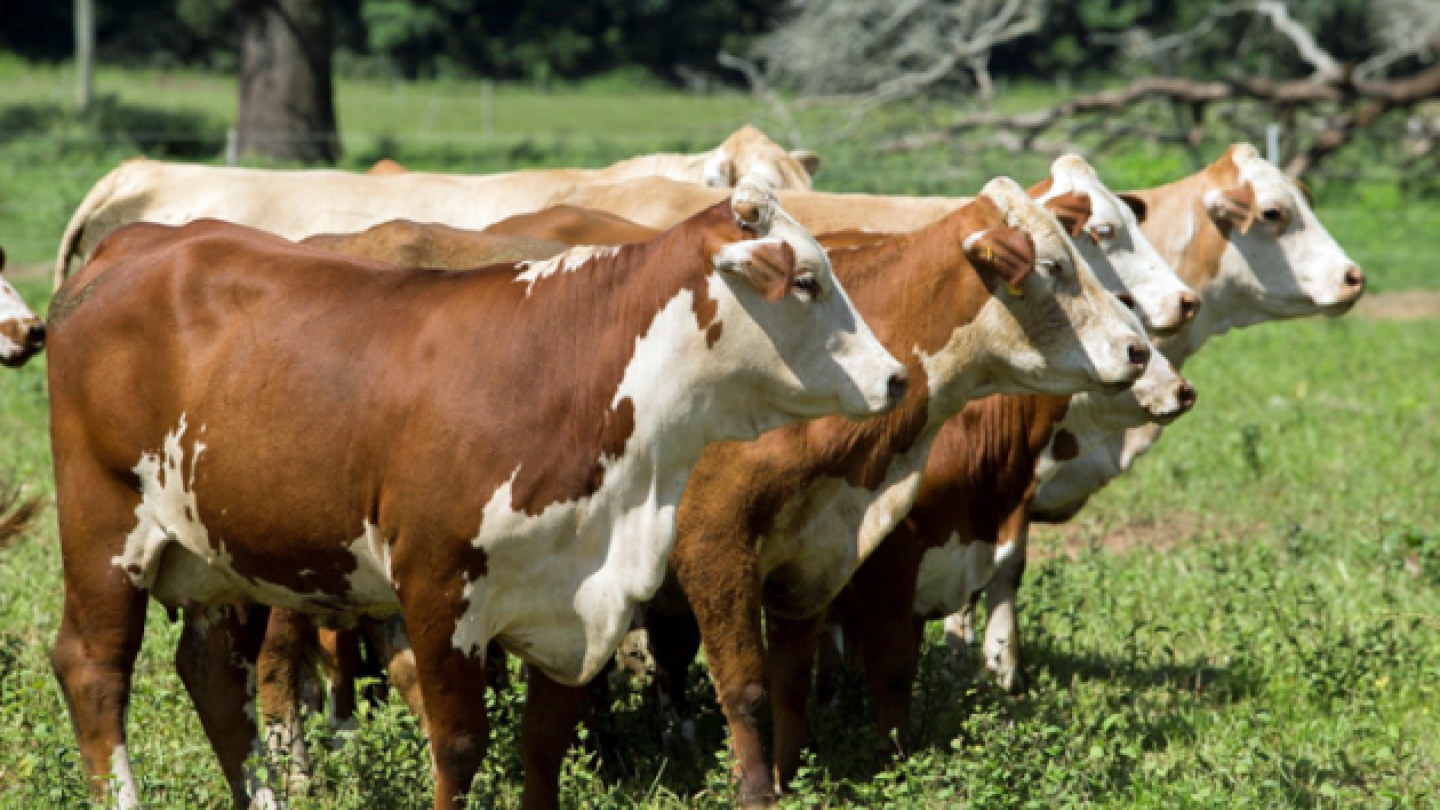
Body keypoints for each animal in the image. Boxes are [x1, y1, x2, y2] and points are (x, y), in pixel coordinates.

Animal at [45, 181, 906, 810]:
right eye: (806, 280)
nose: (897, 376)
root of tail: (144, 240)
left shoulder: (577, 606)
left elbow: (544, 744)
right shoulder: (436, 589)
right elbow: (457, 744)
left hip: (222, 555)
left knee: (215, 677)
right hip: (103, 527)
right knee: (93, 668)